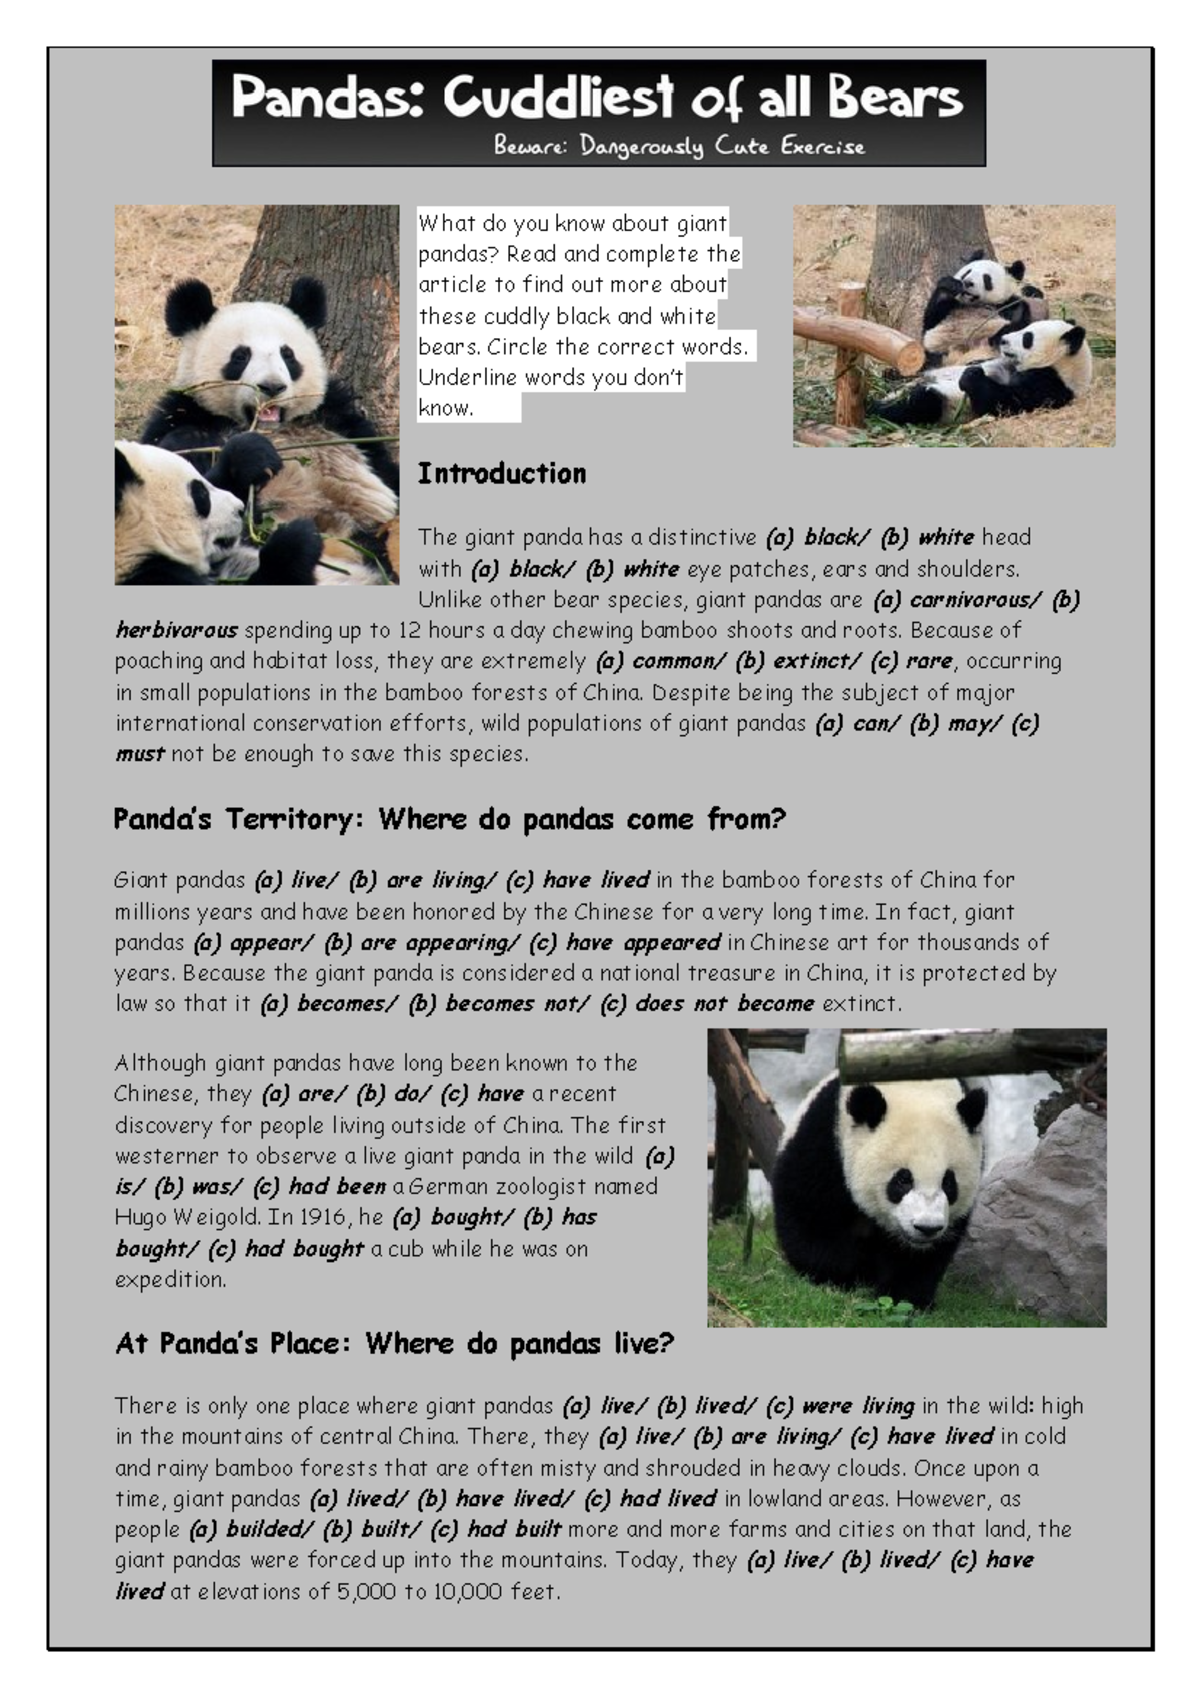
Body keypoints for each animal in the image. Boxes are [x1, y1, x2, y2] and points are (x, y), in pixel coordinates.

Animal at [140, 276, 398, 582]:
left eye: (288, 355)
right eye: (240, 356)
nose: (272, 386)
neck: (271, 429)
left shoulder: (342, 424)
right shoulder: (184, 415)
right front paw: (246, 456)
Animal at [771, 1073, 987, 1309]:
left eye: (948, 1182)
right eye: (903, 1179)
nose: (927, 1227)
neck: (914, 1087)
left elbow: (920, 1259)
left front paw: (908, 1298)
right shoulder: (825, 1143)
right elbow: (812, 1216)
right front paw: (838, 1279)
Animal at [874, 321, 1092, 427]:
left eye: (1027, 338)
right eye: (1025, 329)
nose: (1003, 340)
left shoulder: (1050, 387)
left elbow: (1002, 403)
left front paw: (971, 375)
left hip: (946, 405)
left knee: (919, 402)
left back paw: (877, 407)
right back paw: (891, 375)